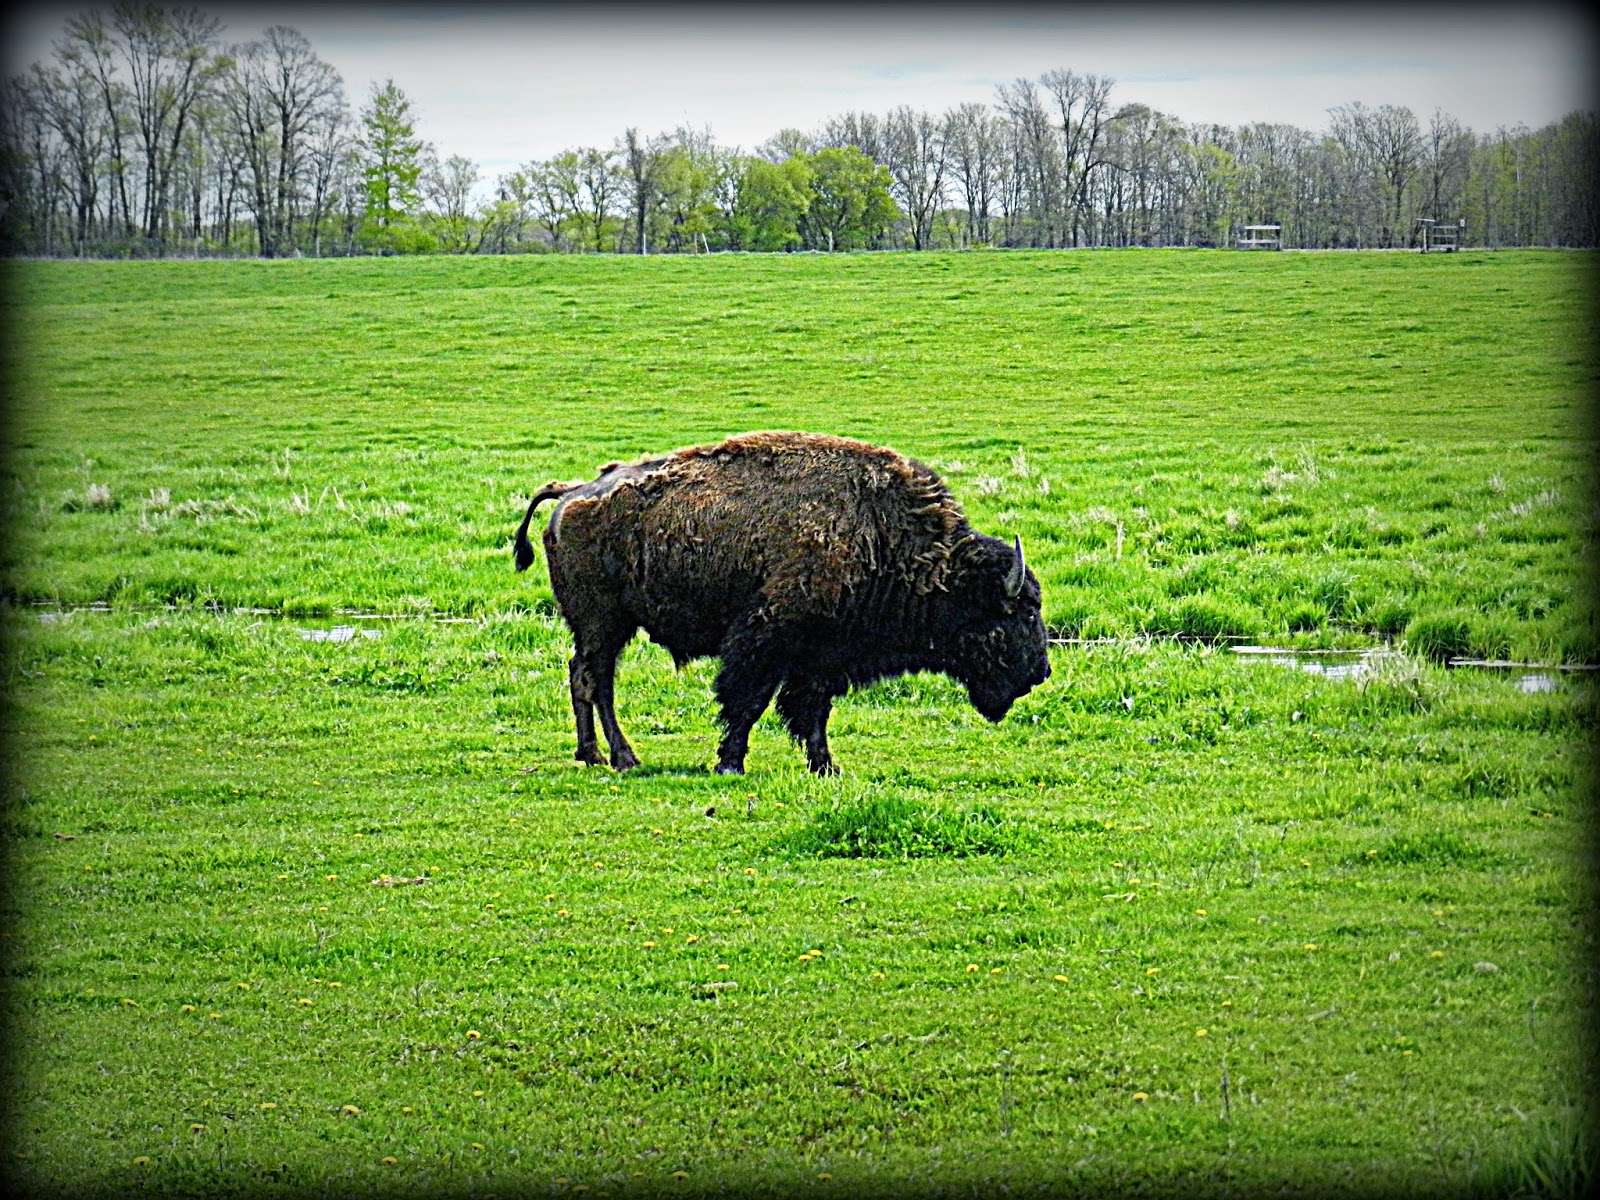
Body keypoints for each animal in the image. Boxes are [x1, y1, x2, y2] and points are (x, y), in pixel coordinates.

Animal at [513, 431, 1049, 775]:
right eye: (1019, 611)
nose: (1041, 671)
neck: (887, 539)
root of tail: (574, 493)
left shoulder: (823, 655)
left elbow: (812, 709)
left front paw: (825, 766)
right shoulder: (767, 639)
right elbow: (748, 701)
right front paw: (730, 763)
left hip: (601, 627)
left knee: (583, 675)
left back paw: (594, 755)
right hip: (603, 623)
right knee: (595, 680)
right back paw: (619, 758)